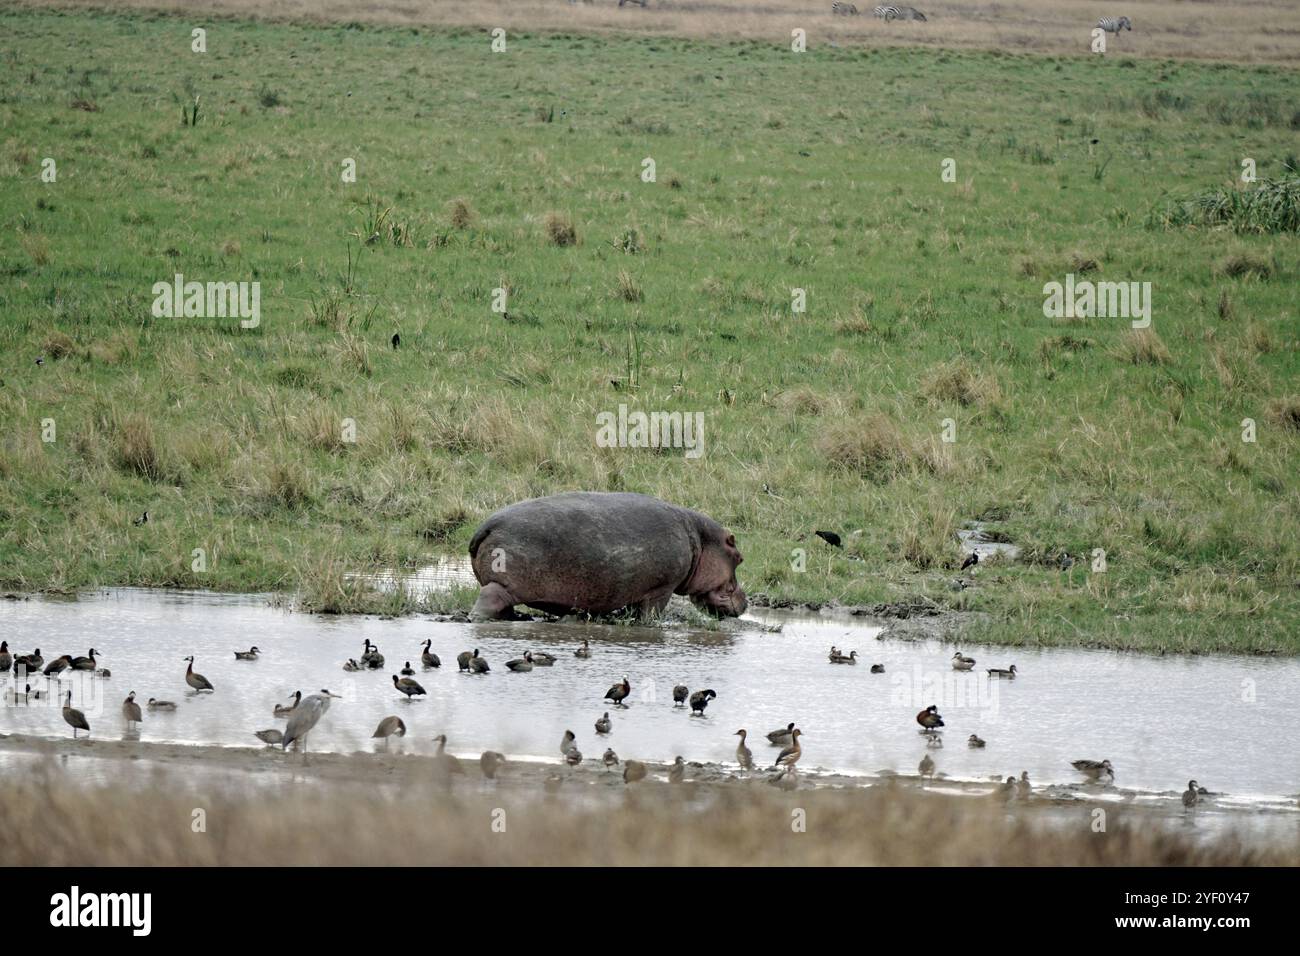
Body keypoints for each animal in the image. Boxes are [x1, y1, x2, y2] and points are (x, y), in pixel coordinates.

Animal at [468, 492, 747, 622]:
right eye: (739, 557)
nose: (746, 602)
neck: (700, 539)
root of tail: (486, 526)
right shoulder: (661, 590)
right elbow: (651, 615)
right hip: (502, 585)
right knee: (489, 598)